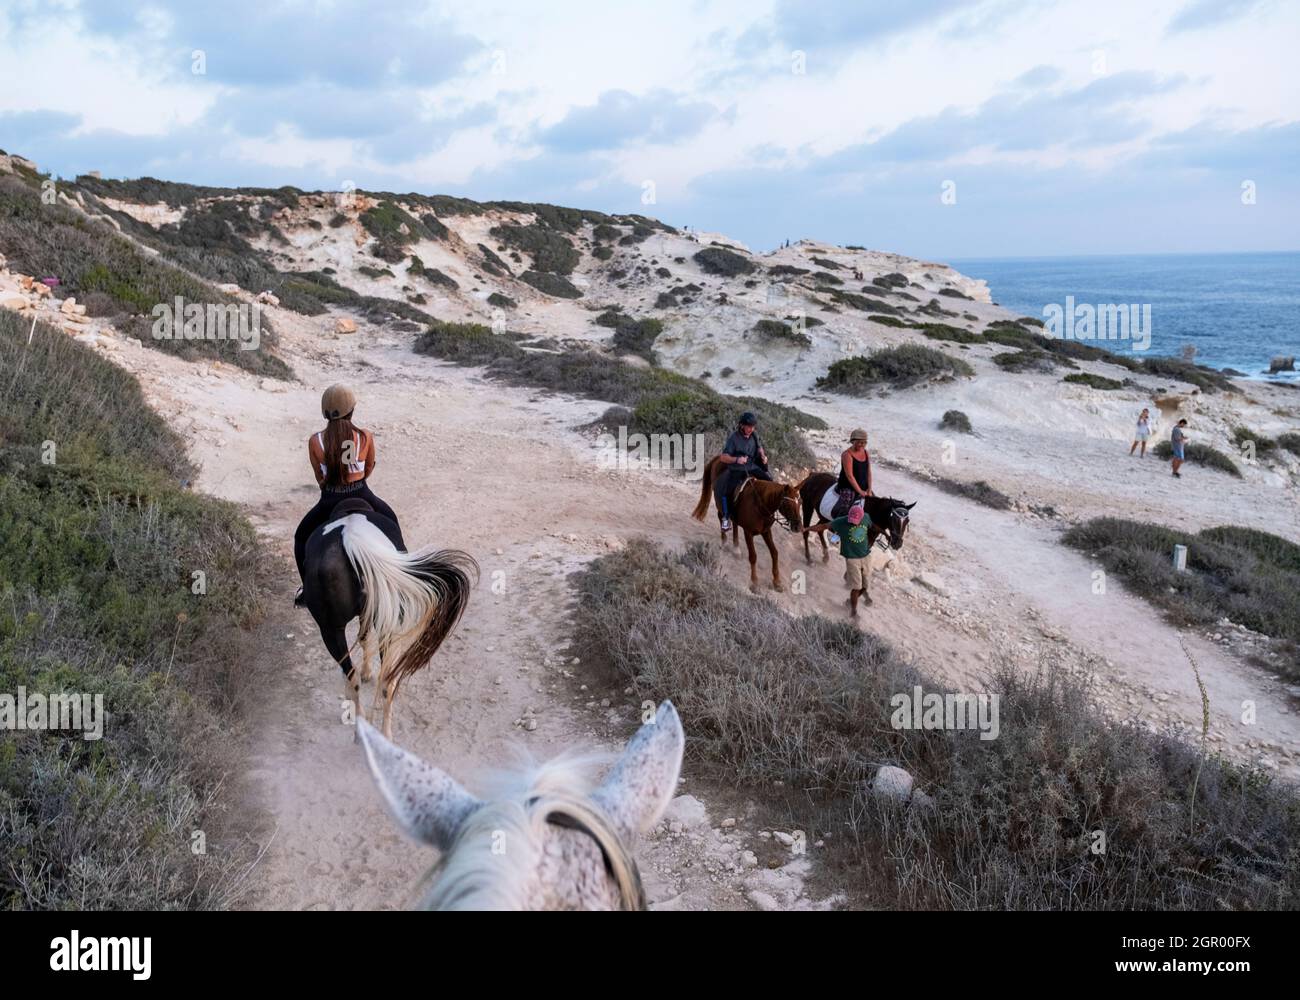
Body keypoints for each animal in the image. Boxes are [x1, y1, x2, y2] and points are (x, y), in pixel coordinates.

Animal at [301, 497, 477, 738]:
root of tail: (351, 535)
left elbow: (362, 639)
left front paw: (364, 674)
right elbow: (364, 638)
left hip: (332, 628)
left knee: (355, 675)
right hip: (380, 624)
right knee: (386, 680)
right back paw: (383, 734)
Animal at [691, 454, 802, 592]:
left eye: (800, 503)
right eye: (787, 504)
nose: (798, 526)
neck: (760, 505)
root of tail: (717, 458)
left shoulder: (766, 531)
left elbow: (775, 553)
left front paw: (777, 582)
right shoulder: (748, 532)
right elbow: (753, 556)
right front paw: (754, 583)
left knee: (734, 524)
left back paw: (736, 549)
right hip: (720, 504)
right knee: (722, 518)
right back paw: (724, 542)